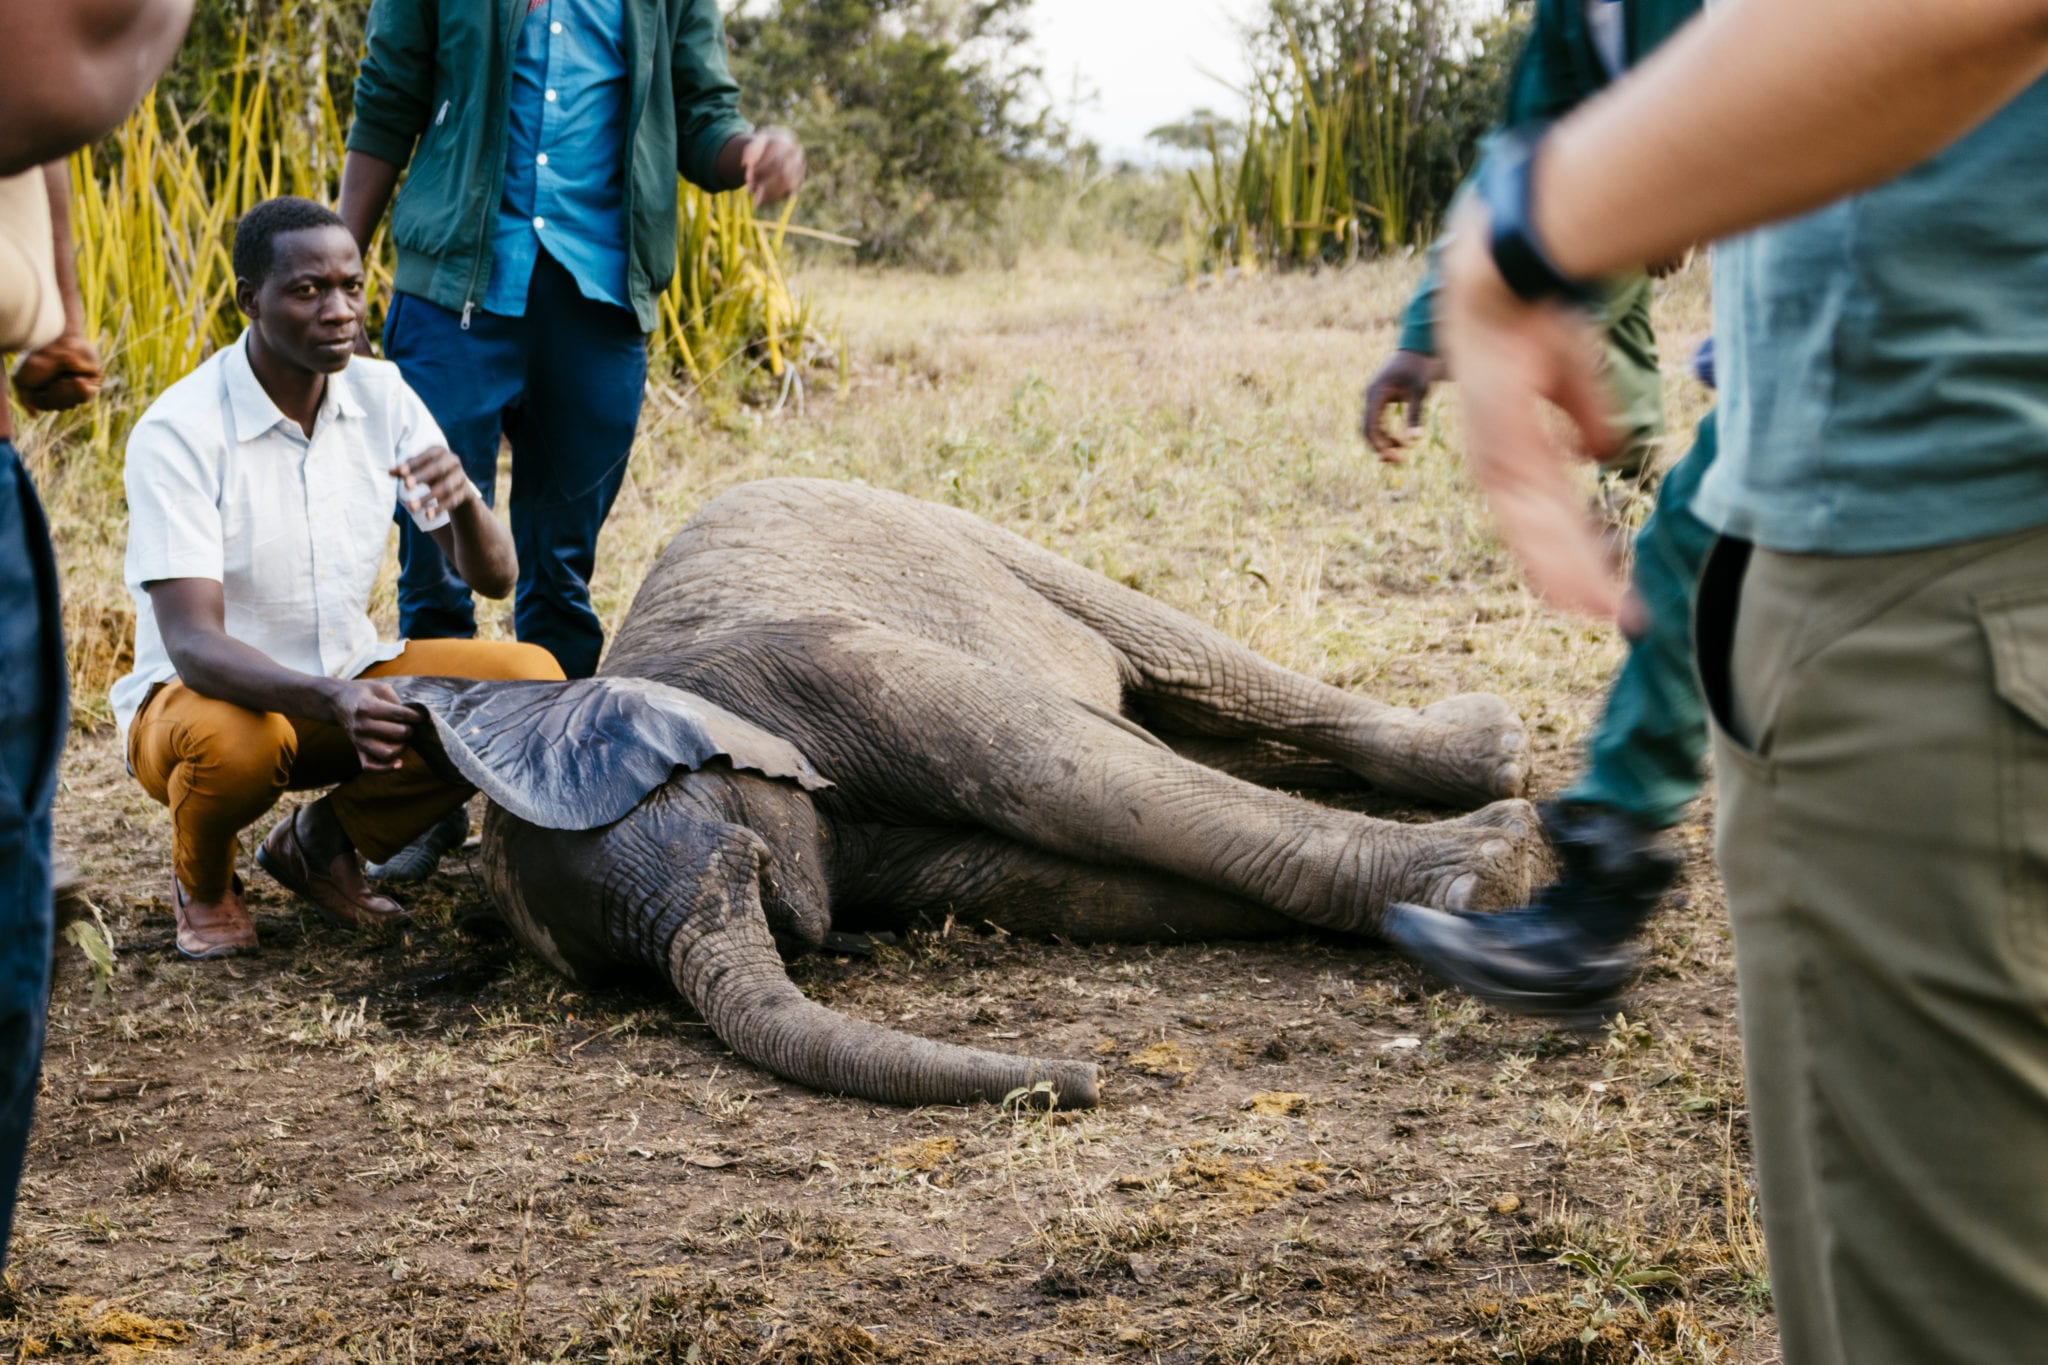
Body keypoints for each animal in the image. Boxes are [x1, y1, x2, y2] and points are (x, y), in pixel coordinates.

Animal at [396, 479, 1537, 1111]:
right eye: (617, 973)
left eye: (737, 863)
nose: (1084, 1084)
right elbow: (1077, 883)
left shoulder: (822, 667)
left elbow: (1064, 774)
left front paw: (1496, 873)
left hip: (953, 530)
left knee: (1188, 664)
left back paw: (1497, 755)